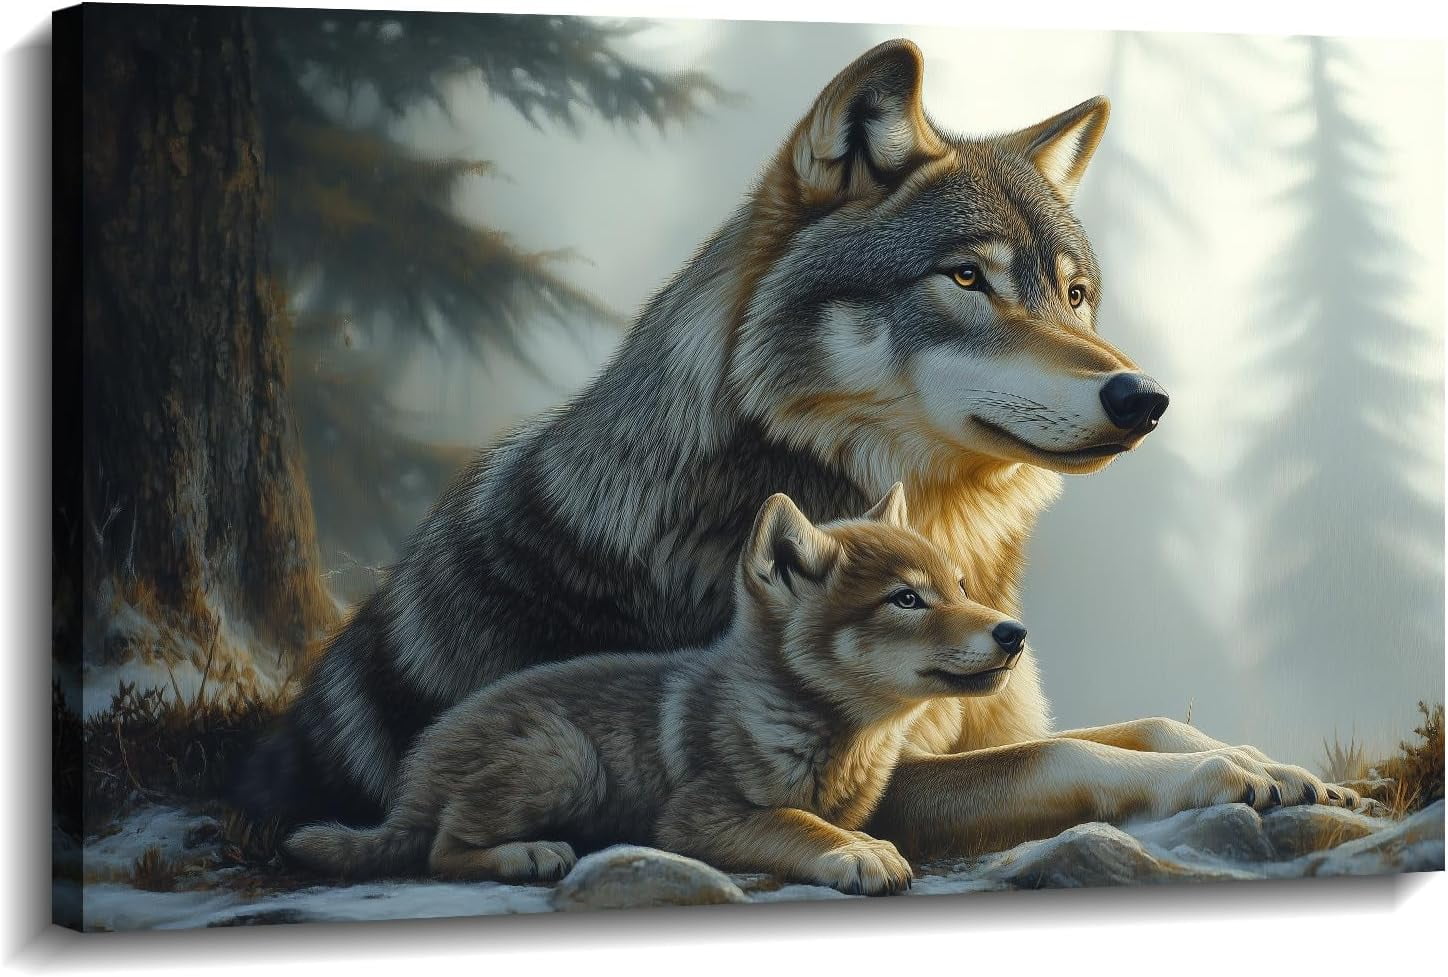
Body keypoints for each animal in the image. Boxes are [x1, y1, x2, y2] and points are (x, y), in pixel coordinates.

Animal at [284, 486, 1041, 895]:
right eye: (907, 599)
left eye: (960, 588)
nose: (1015, 633)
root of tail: (415, 771)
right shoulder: (694, 819)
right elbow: (792, 821)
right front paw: (855, 853)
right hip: (566, 758)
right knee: (439, 848)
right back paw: (531, 852)